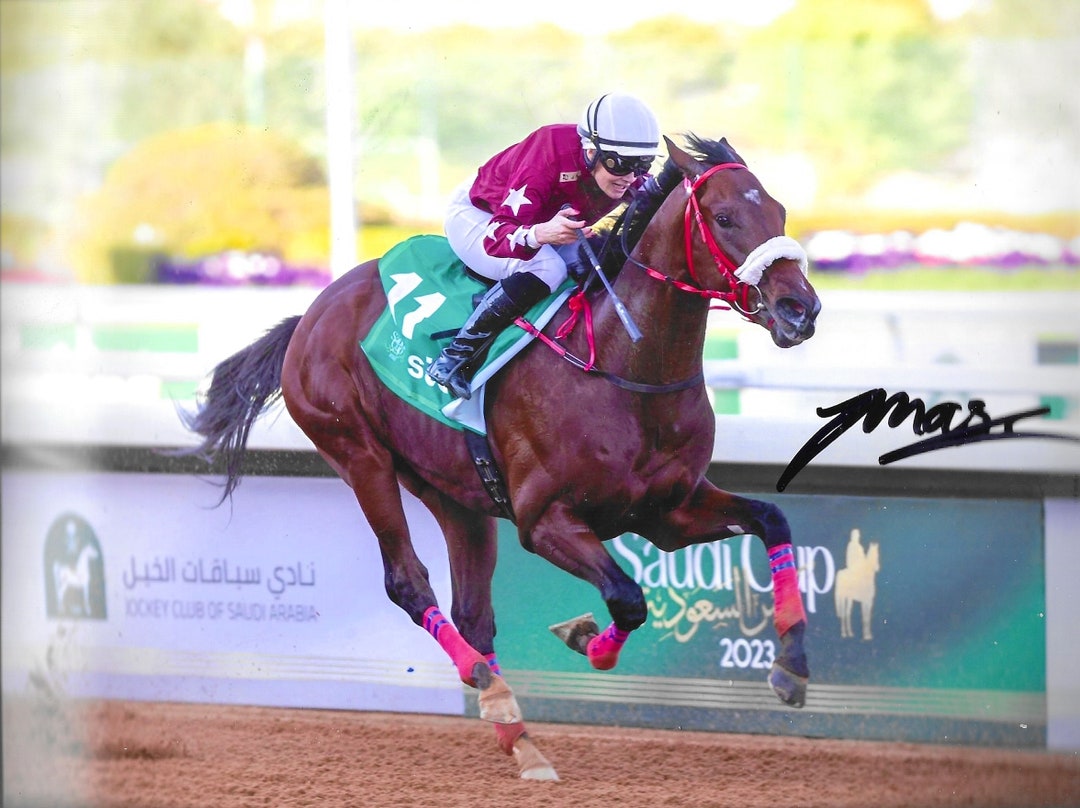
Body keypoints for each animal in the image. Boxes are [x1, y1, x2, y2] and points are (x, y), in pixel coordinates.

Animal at [178, 133, 821, 780]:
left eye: (780, 212)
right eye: (725, 217)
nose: (800, 309)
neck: (624, 369)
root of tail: (311, 314)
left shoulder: (667, 513)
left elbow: (772, 520)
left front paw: (791, 666)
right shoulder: (544, 521)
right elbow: (628, 598)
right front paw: (586, 639)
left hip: (454, 494)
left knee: (473, 612)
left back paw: (516, 732)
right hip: (358, 456)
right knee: (408, 582)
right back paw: (482, 679)